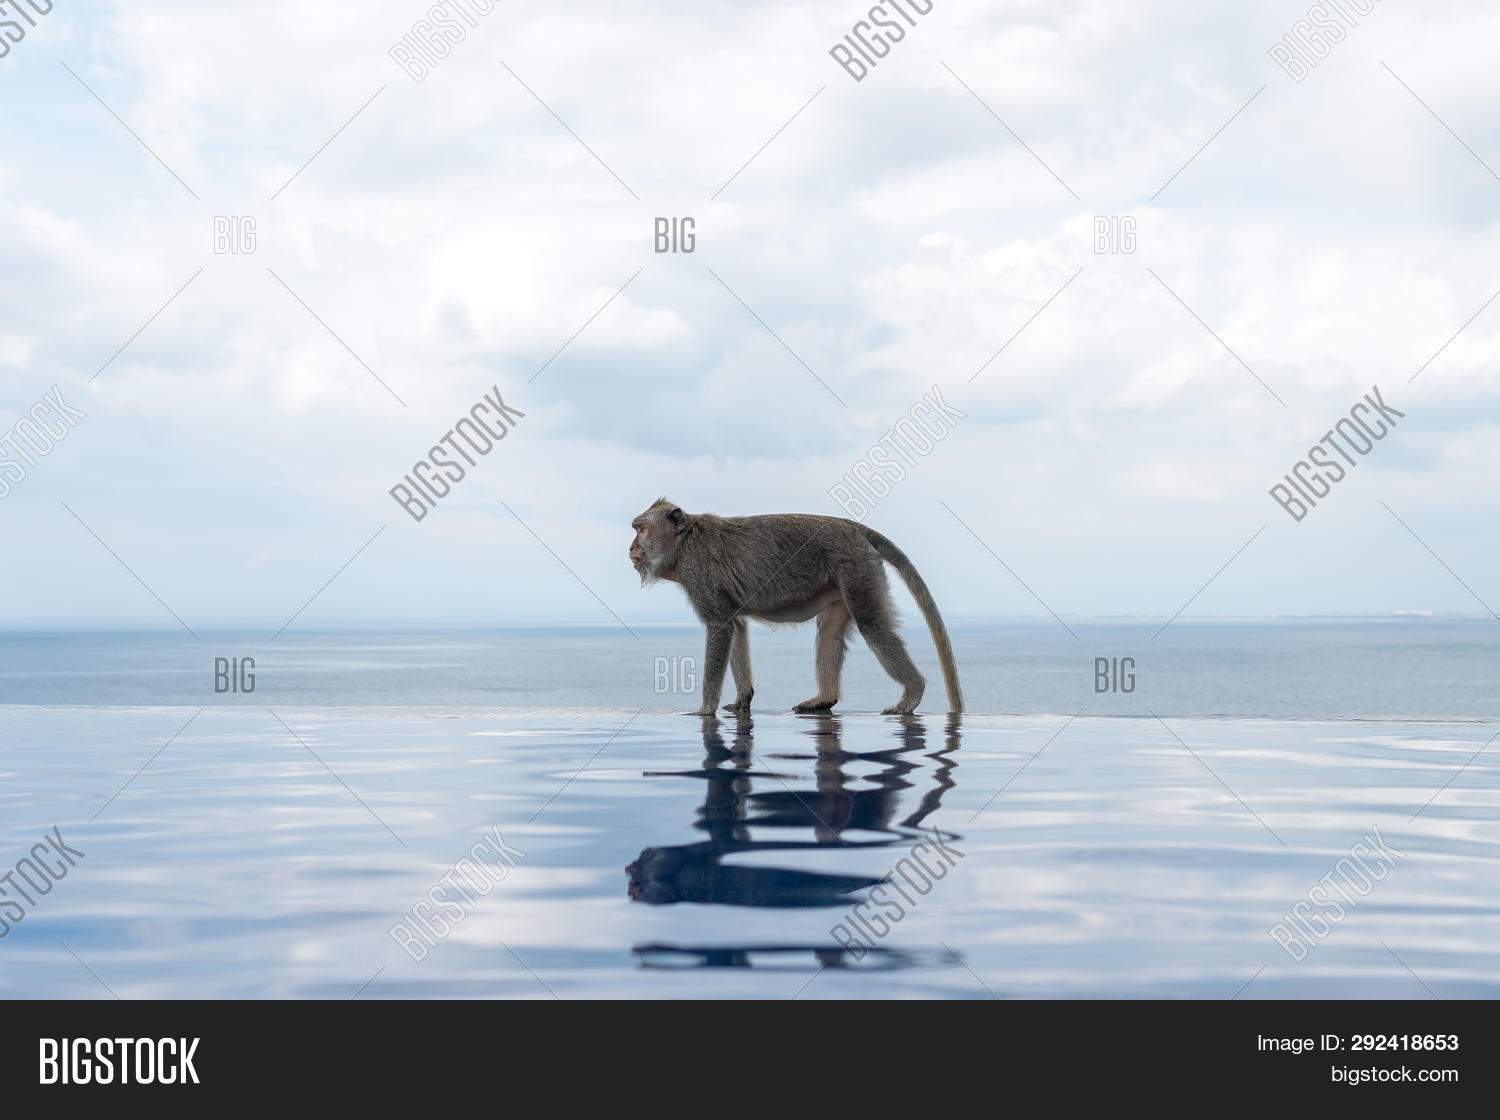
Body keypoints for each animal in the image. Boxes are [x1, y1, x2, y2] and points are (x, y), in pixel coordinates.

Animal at [629, 498, 963, 716]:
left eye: (640, 529)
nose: (630, 548)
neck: (683, 544)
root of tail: (855, 529)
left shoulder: (701, 577)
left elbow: (721, 627)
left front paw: (705, 709)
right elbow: (736, 626)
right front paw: (742, 699)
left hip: (856, 569)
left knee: (874, 626)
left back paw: (912, 694)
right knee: (830, 634)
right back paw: (824, 699)